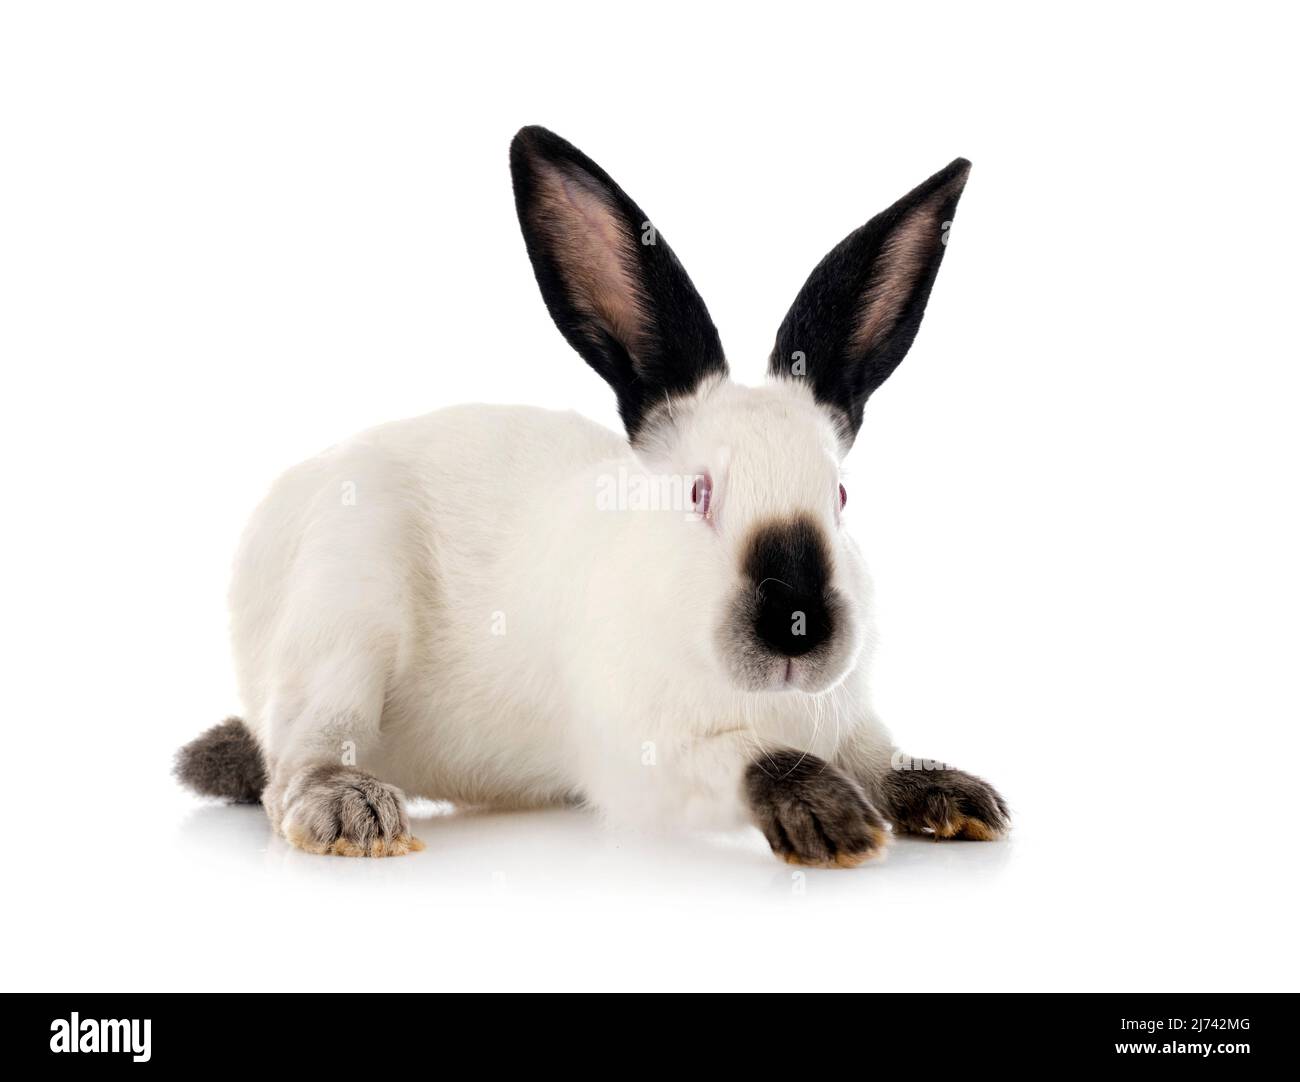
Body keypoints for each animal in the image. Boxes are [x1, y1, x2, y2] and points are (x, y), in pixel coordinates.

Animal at [175, 125, 1009, 866]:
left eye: (839, 497)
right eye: (700, 494)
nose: (795, 628)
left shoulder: (851, 722)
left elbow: (881, 758)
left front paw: (958, 801)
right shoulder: (648, 757)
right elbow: (759, 761)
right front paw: (832, 822)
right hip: (343, 621)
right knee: (297, 763)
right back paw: (353, 814)